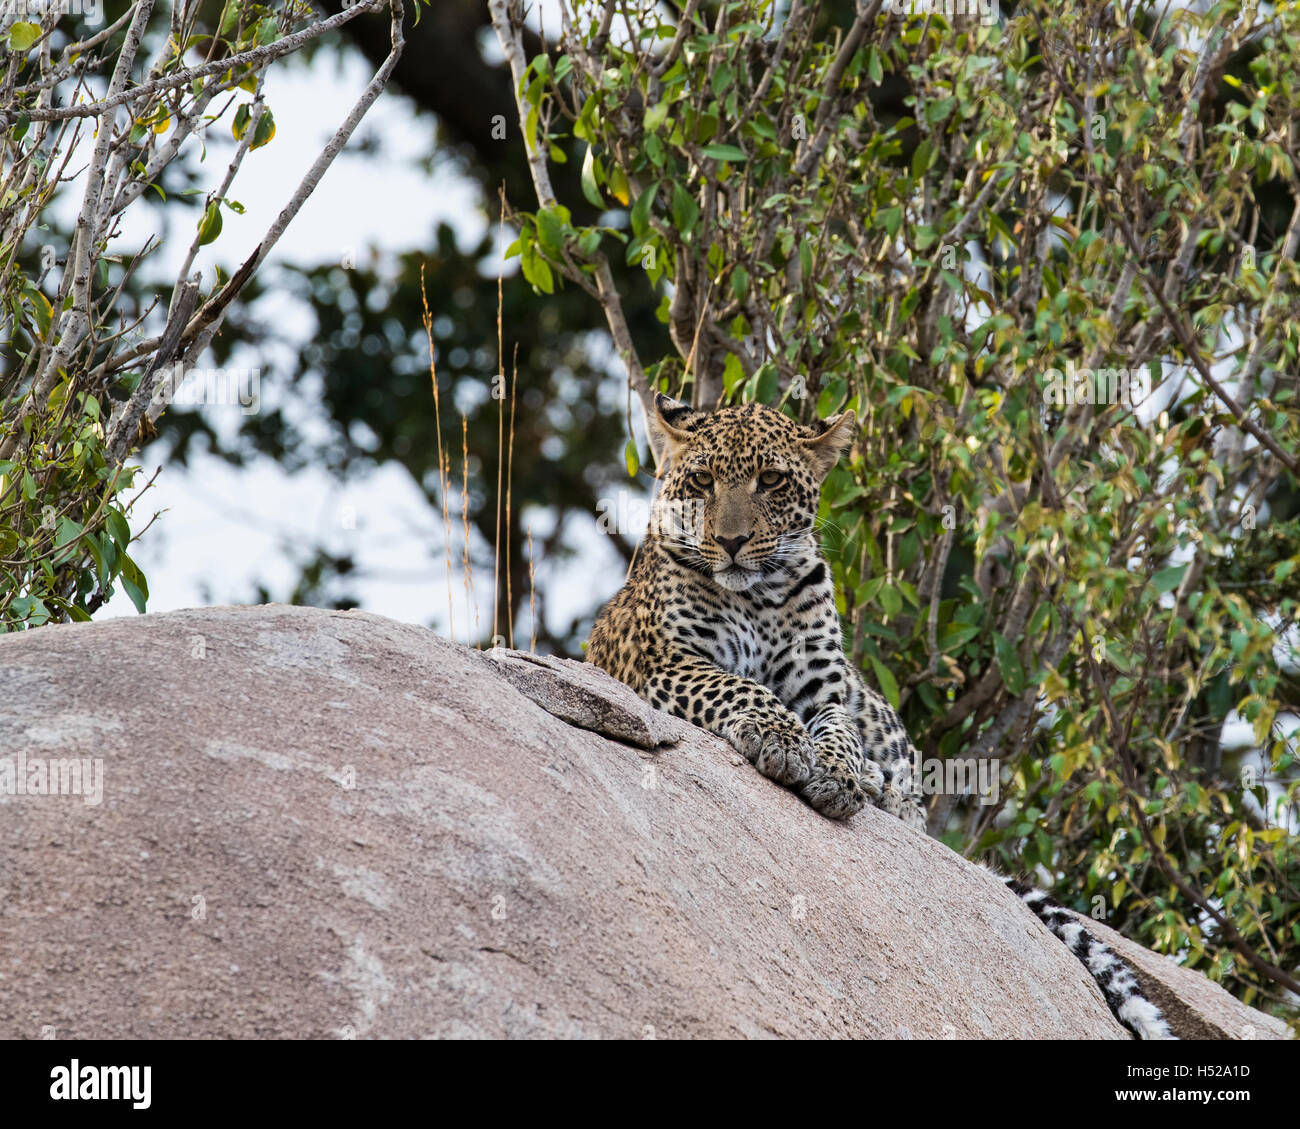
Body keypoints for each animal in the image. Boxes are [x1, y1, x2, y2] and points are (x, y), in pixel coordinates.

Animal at [586, 393, 1172, 1040]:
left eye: (770, 481)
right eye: (701, 481)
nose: (732, 540)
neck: (758, 596)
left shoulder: (827, 691)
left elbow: (838, 731)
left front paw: (839, 776)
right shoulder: (666, 663)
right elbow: (740, 686)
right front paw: (780, 739)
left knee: (910, 806)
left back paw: (873, 783)